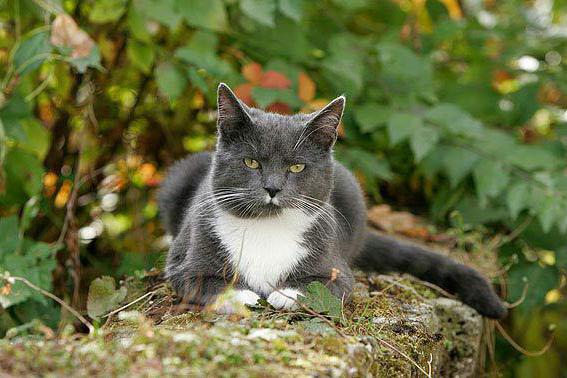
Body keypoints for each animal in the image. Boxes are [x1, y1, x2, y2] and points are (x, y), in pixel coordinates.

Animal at [158, 83, 508, 318]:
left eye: (297, 167)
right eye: (251, 163)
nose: (272, 188)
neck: (267, 227)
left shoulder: (334, 264)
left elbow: (327, 285)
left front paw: (287, 294)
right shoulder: (186, 259)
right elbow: (201, 280)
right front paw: (245, 295)